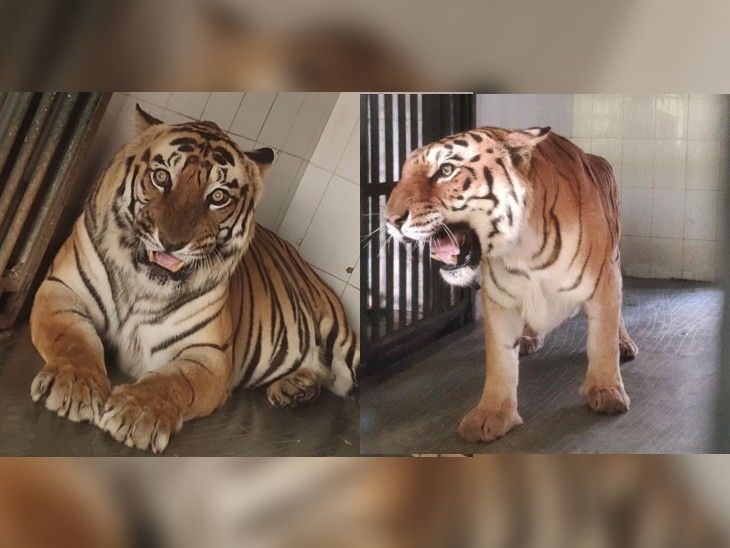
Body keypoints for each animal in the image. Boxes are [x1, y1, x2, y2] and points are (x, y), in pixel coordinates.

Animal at [28, 104, 359, 453]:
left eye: (218, 196)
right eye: (161, 177)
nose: (171, 243)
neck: (144, 285)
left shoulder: (208, 352)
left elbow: (172, 382)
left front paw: (137, 415)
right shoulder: (62, 290)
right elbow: (73, 339)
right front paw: (75, 386)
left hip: (343, 346)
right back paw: (295, 388)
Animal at [384, 126, 637, 444]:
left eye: (446, 170)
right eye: (403, 174)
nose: (389, 220)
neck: (524, 250)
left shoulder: (603, 279)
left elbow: (603, 340)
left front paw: (606, 392)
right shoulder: (500, 300)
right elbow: (500, 360)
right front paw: (492, 415)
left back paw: (624, 343)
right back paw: (530, 338)